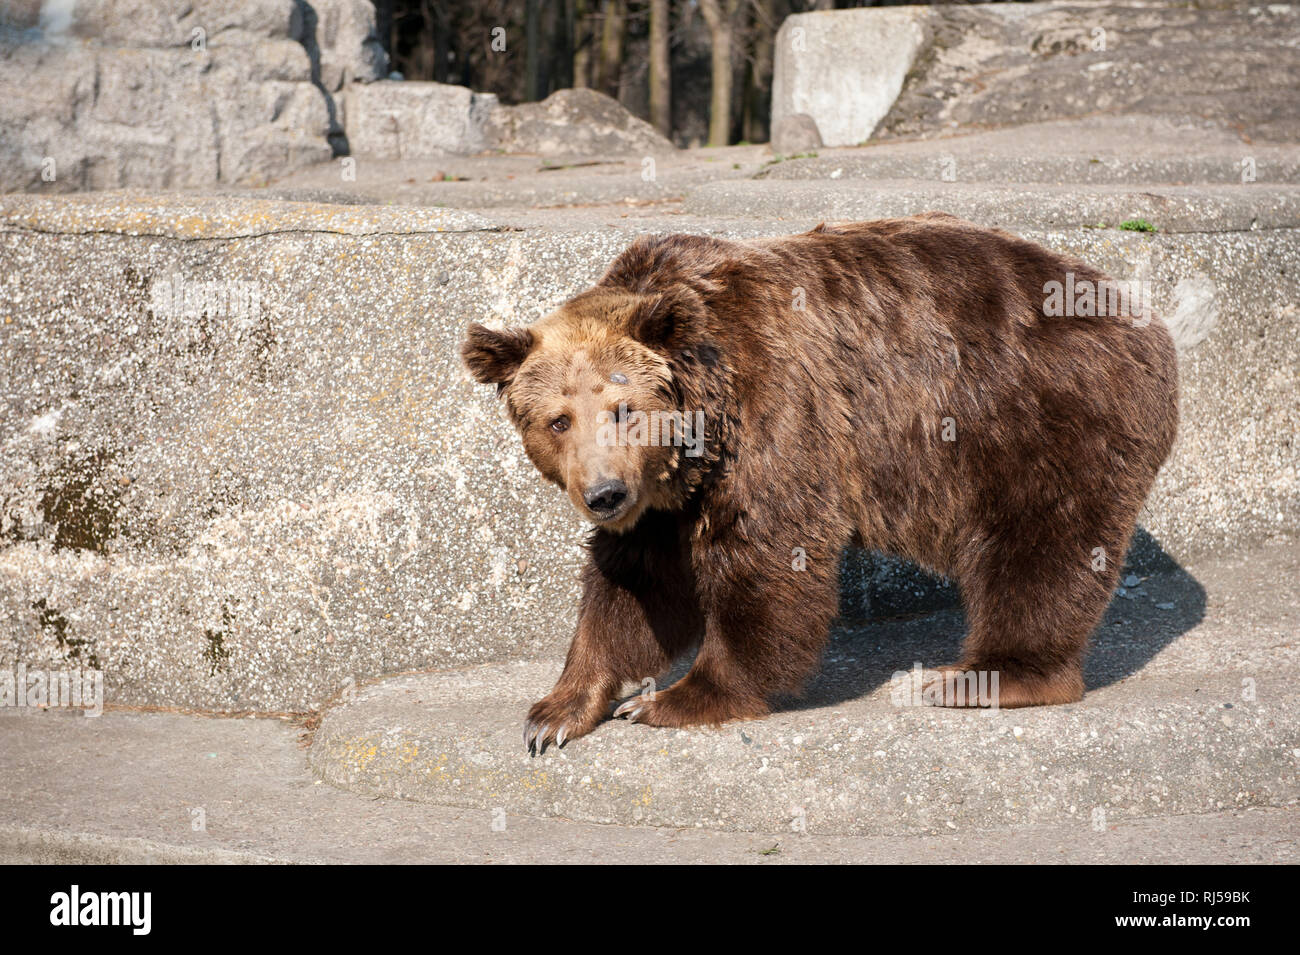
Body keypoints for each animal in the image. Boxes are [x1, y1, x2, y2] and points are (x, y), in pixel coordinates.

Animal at [460, 213, 1179, 754]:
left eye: (623, 408)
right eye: (557, 419)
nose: (603, 494)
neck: (701, 422)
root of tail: (1138, 312)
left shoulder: (775, 405)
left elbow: (768, 552)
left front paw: (679, 697)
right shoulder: (666, 498)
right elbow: (632, 584)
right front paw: (556, 711)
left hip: (1036, 416)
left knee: (1039, 548)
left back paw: (981, 676)